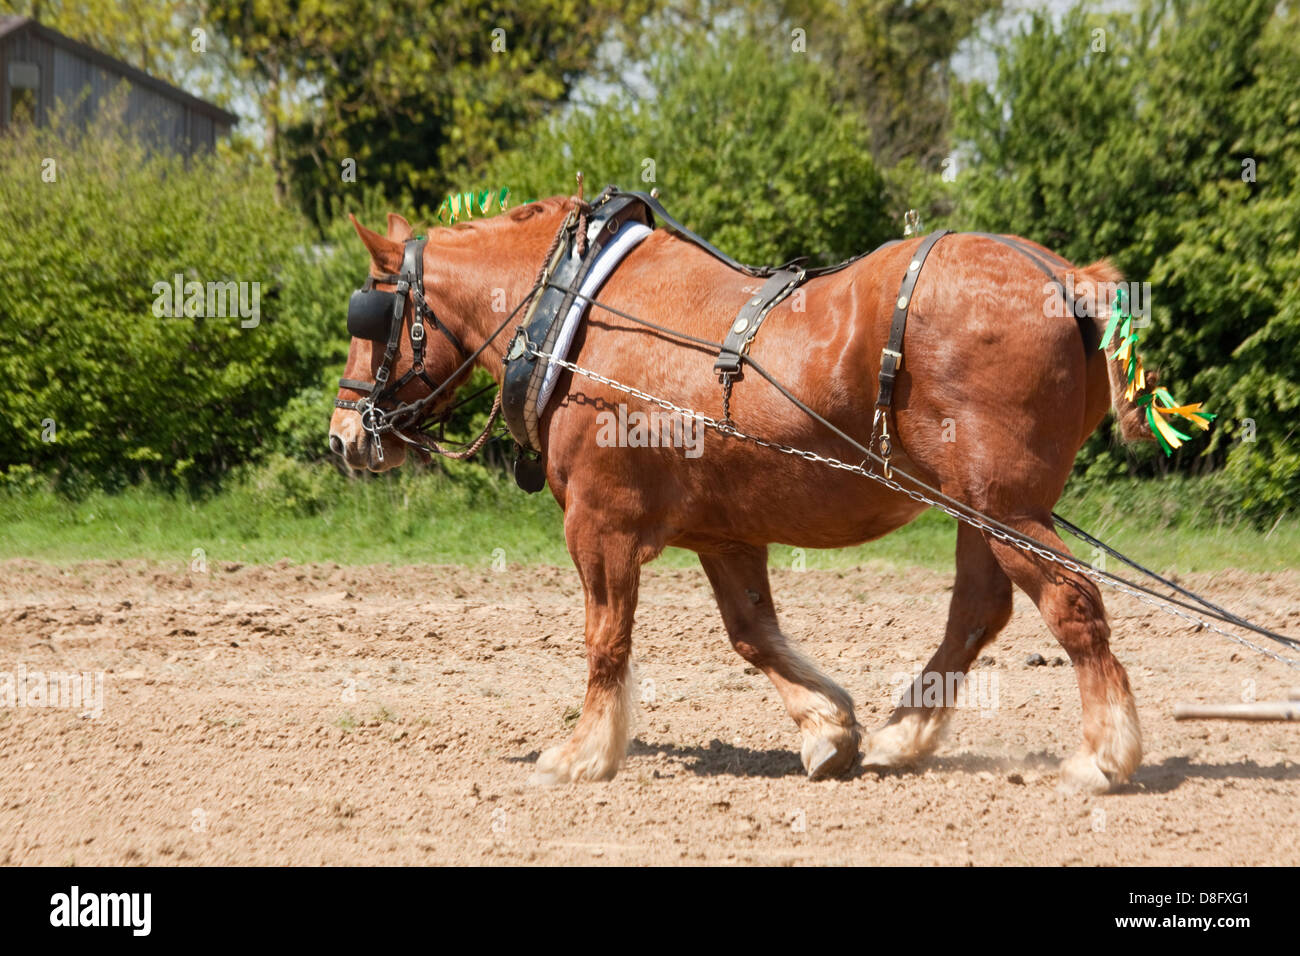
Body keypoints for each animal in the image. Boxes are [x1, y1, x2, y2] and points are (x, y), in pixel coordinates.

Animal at [328, 196, 1151, 793]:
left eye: (370, 315)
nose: (341, 437)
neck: (579, 318)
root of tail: (1067, 277)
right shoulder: (724, 534)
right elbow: (752, 634)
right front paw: (828, 729)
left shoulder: (600, 524)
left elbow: (606, 640)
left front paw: (583, 753)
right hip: (980, 508)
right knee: (978, 612)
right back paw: (902, 736)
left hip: (1003, 508)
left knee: (1072, 601)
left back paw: (1103, 755)